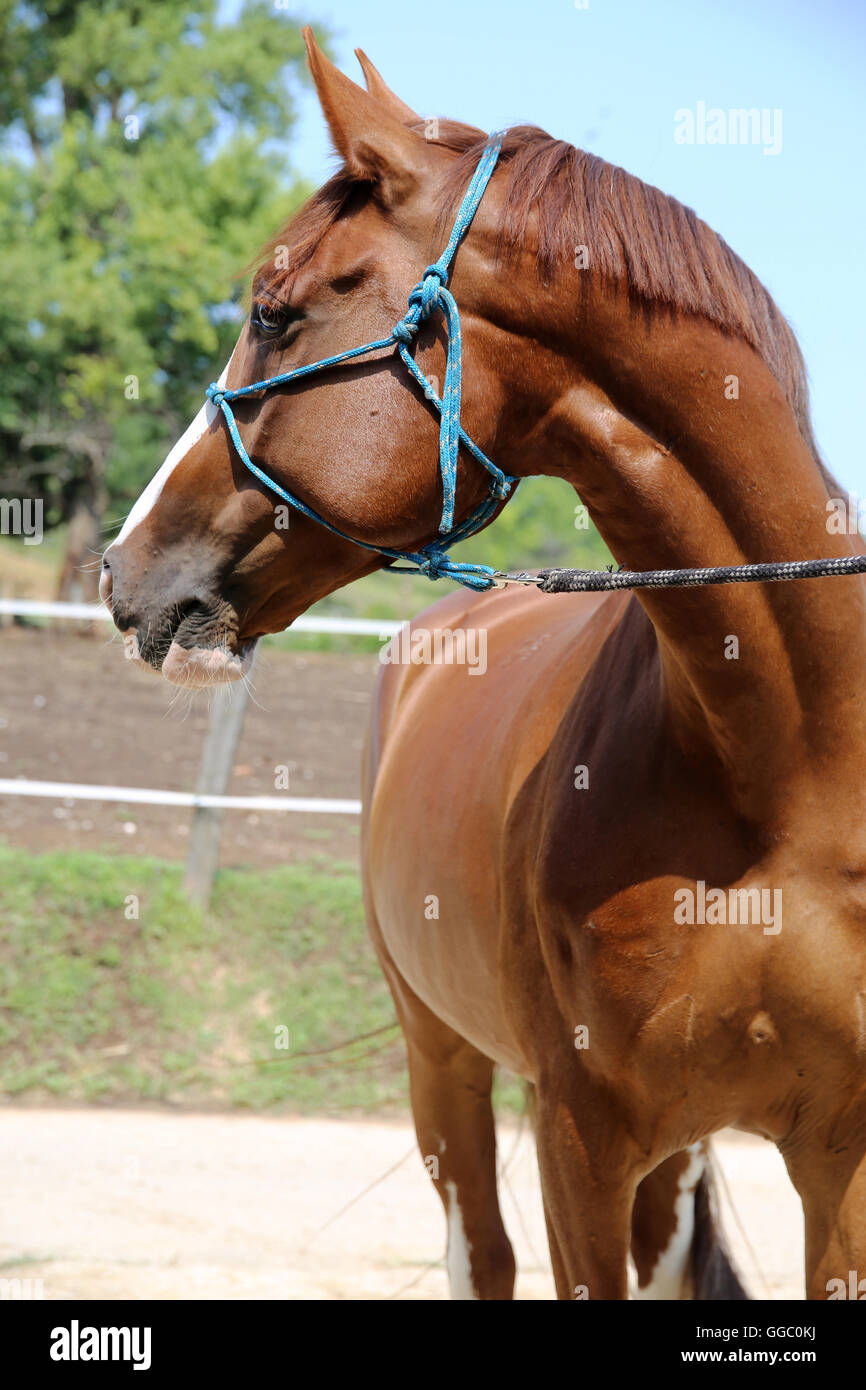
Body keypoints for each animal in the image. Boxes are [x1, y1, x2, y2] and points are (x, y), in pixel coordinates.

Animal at [100, 29, 866, 1300]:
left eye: (274, 311)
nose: (123, 567)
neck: (784, 762)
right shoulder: (577, 1139)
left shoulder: (833, 1155)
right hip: (440, 1061)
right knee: (480, 1251)